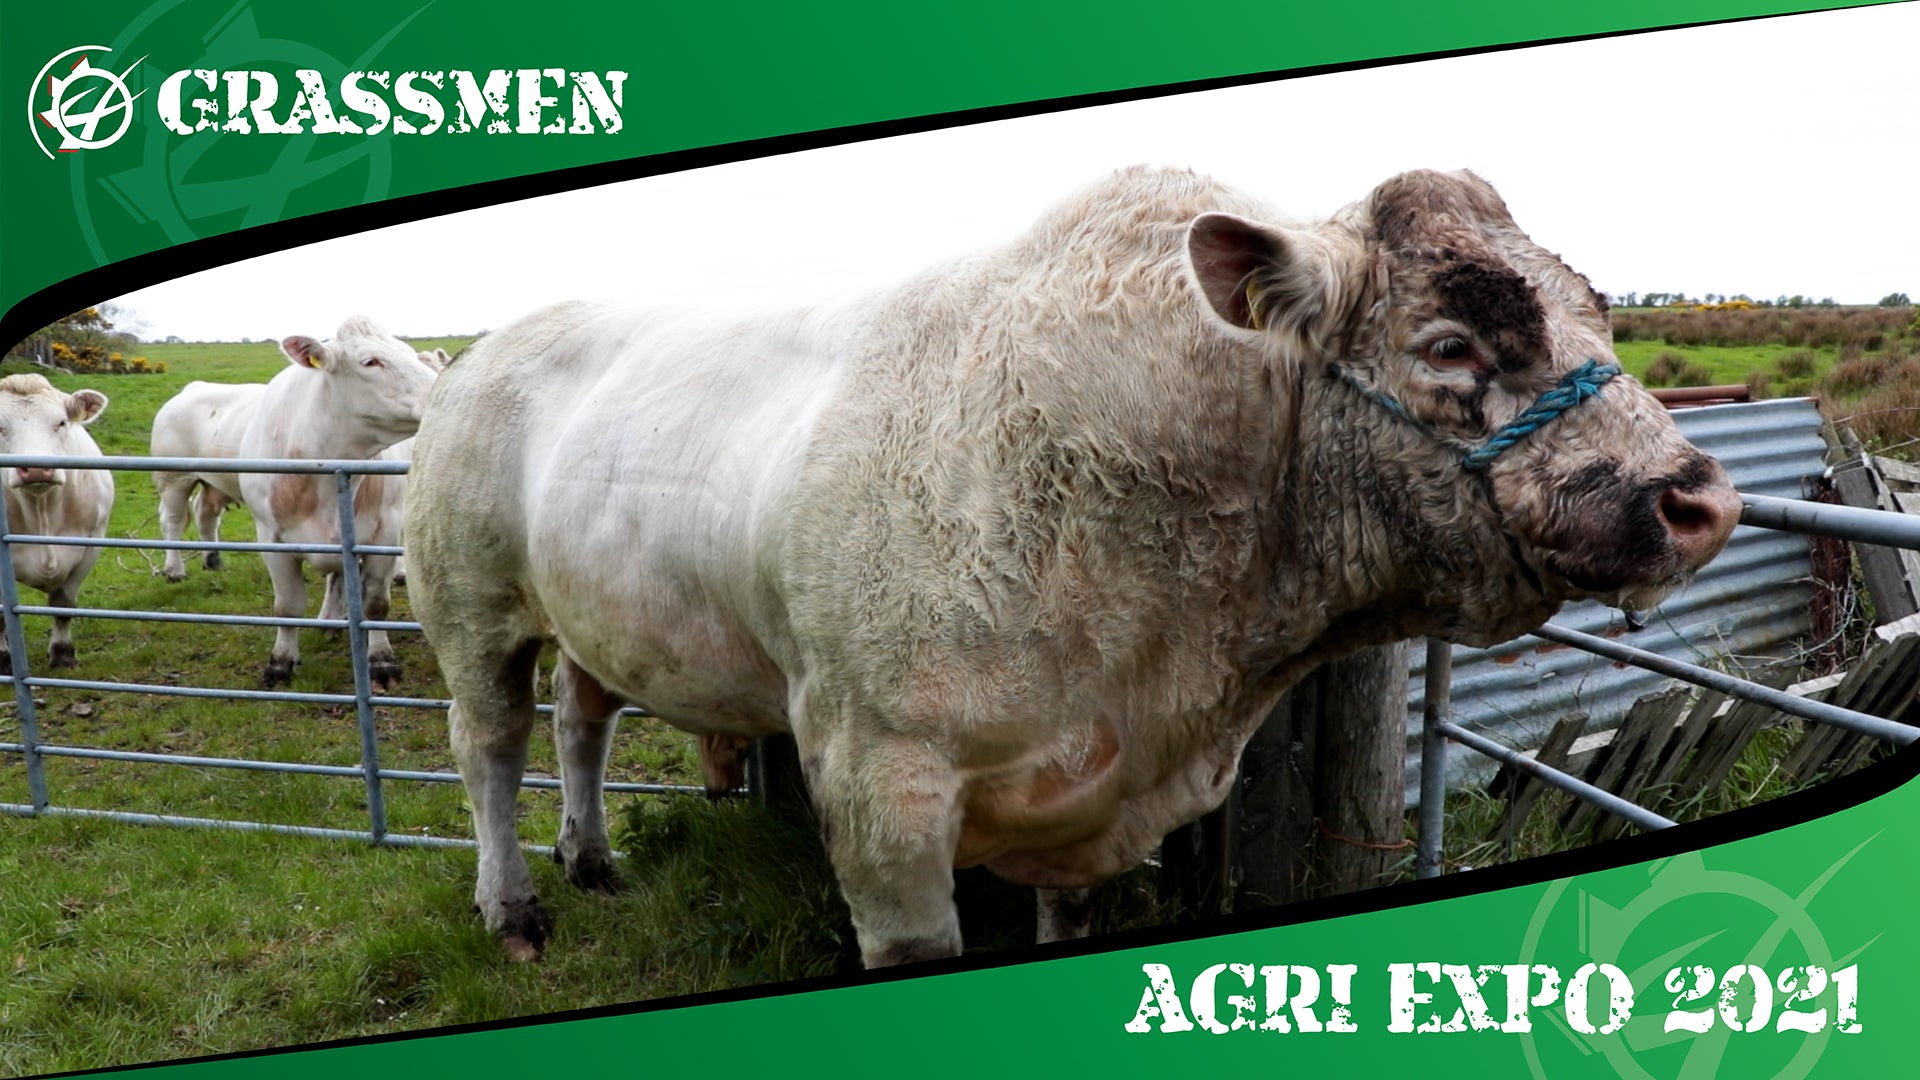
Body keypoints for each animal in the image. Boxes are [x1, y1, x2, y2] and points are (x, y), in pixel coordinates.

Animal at [0, 374, 115, 669]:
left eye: (61, 422)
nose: (36, 469)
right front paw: (4, 659)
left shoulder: (90, 547)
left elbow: (63, 603)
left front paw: (63, 653)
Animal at [239, 318, 440, 689]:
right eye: (371, 361)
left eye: (407, 352)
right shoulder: (270, 539)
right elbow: (286, 606)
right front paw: (280, 663)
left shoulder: (383, 534)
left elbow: (375, 603)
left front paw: (381, 661)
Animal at [404, 167, 1743, 968]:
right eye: (1451, 343)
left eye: (1602, 314)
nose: (1698, 500)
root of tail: (483, 349)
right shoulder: (876, 777)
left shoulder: (1100, 810)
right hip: (471, 611)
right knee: (493, 749)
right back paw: (514, 905)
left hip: (593, 614)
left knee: (581, 723)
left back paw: (590, 859)